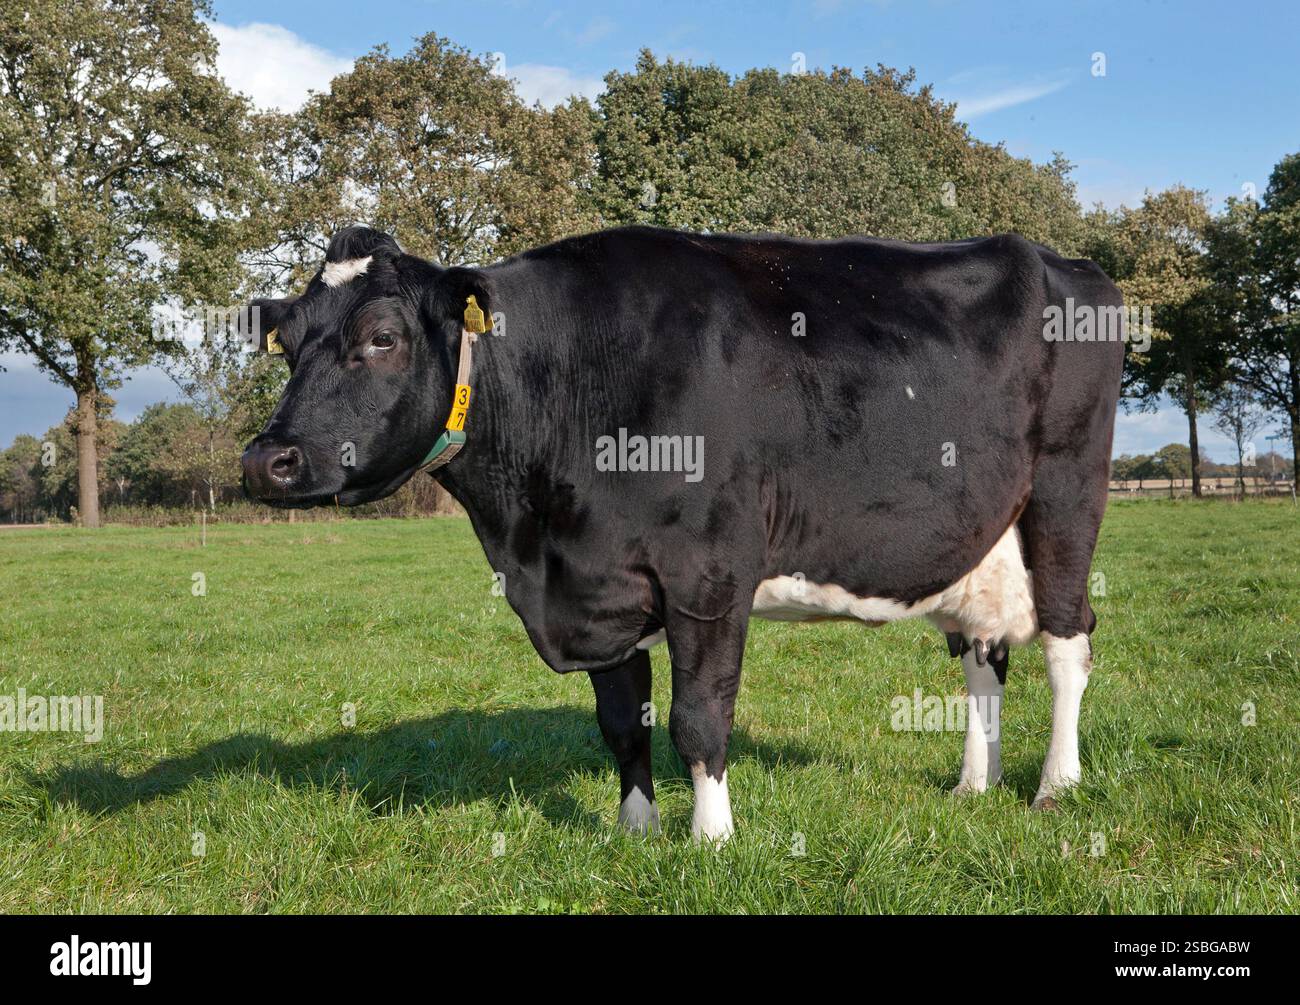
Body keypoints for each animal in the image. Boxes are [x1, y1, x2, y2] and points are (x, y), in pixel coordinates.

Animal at [240, 224, 1125, 842]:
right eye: (288, 343)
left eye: (381, 337)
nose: (266, 459)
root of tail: (1065, 262)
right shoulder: (599, 581)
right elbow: (620, 723)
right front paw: (635, 830)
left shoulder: (709, 574)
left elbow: (697, 716)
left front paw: (711, 837)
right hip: (980, 532)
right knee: (983, 653)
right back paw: (974, 784)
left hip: (1065, 493)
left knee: (1067, 640)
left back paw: (1055, 786)